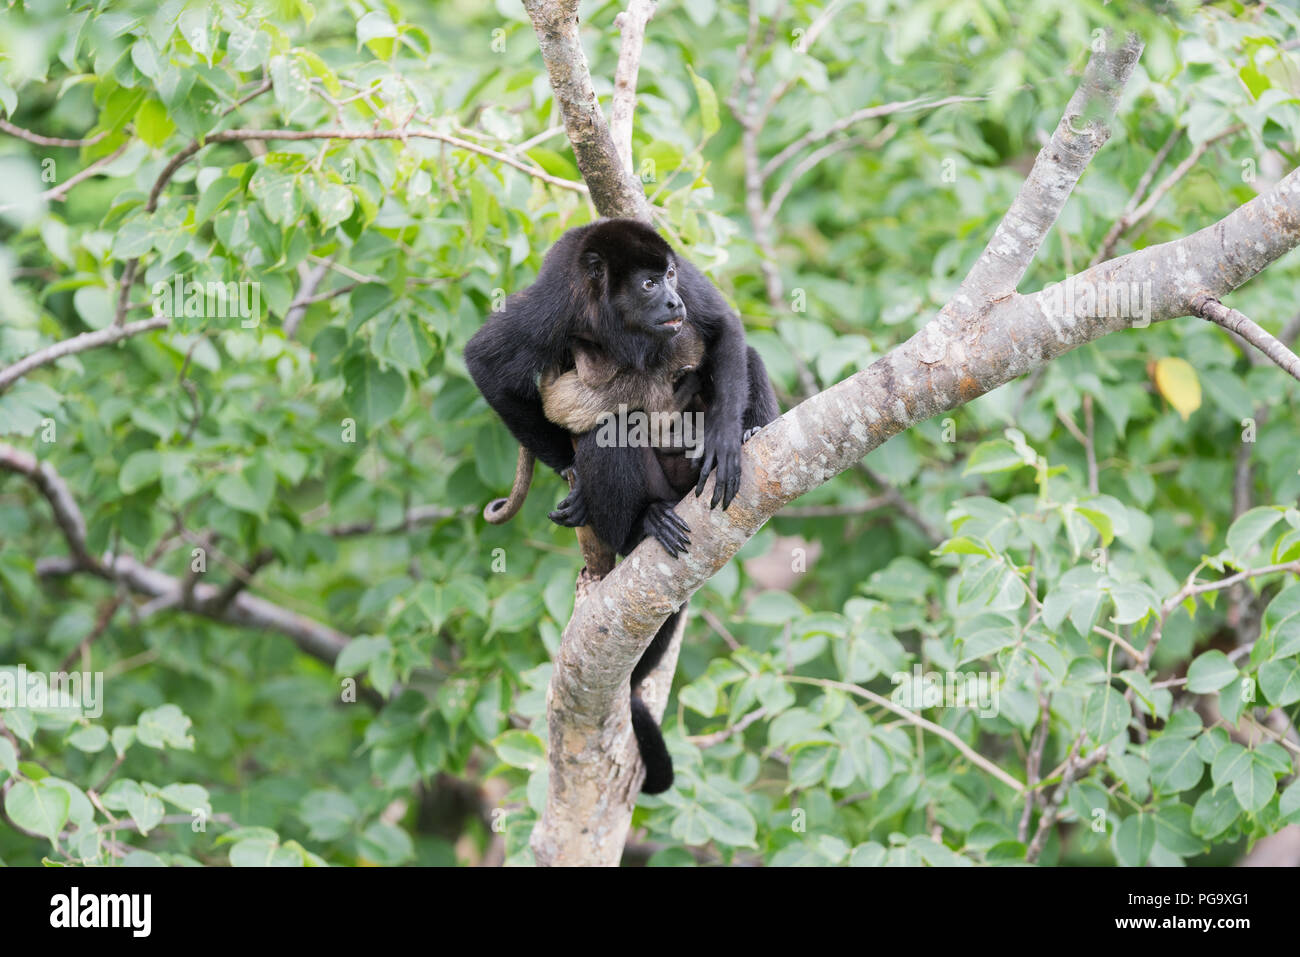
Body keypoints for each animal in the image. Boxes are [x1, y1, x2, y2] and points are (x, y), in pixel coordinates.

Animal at [464, 218, 780, 792]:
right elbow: (487, 362)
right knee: (609, 430)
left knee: (744, 358)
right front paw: (573, 481)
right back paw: (639, 525)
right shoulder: (555, 302)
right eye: (648, 285)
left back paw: (748, 429)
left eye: (670, 275)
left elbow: (724, 326)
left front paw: (727, 436)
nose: (674, 299)